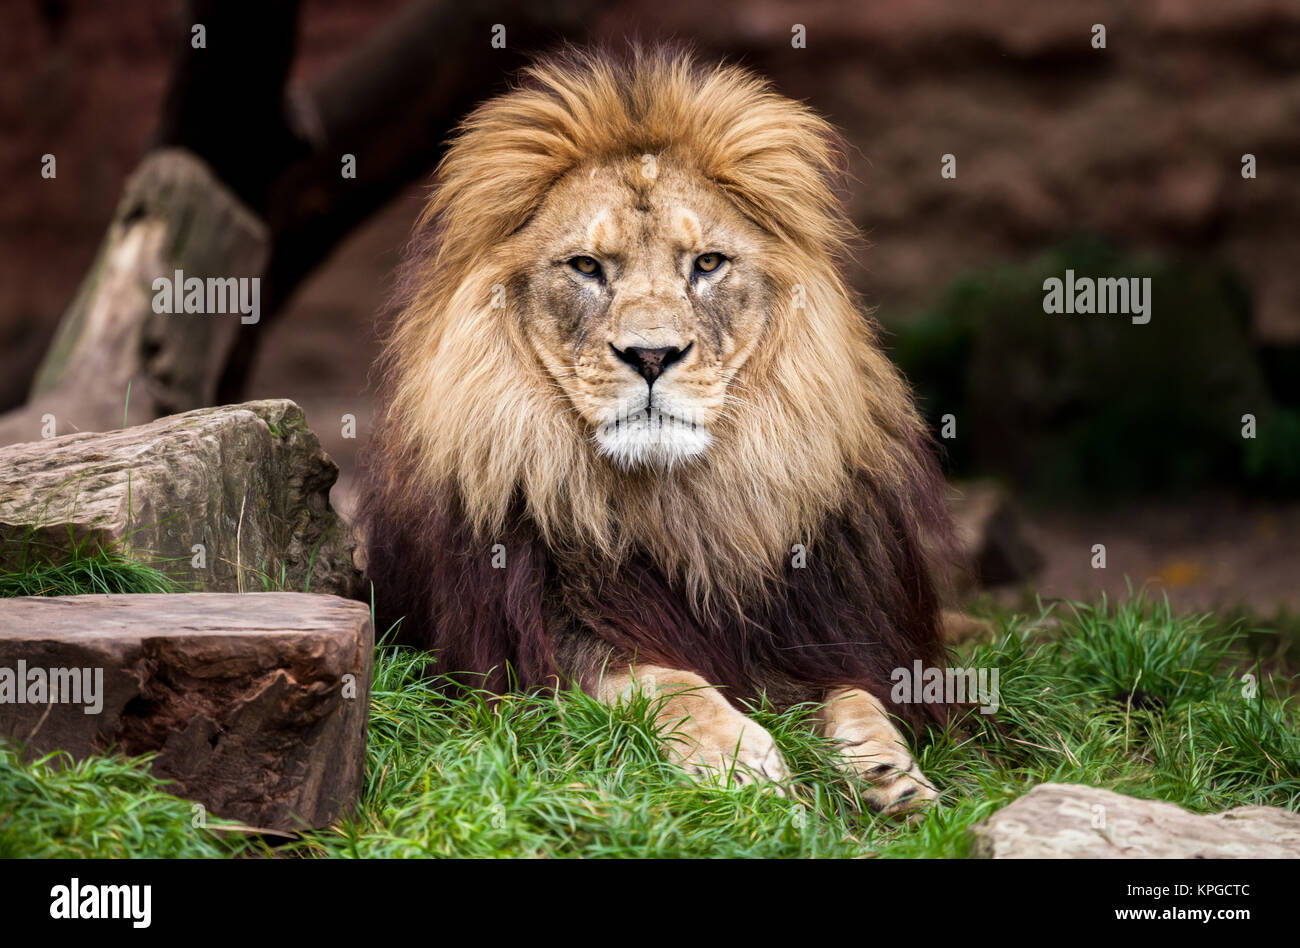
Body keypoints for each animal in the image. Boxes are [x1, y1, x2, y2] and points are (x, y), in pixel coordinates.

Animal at [356, 46, 955, 816]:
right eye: (587, 266)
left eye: (707, 264)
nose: (651, 356)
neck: (685, 505)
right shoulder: (539, 652)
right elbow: (668, 683)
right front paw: (741, 761)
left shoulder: (821, 634)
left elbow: (853, 694)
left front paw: (889, 770)